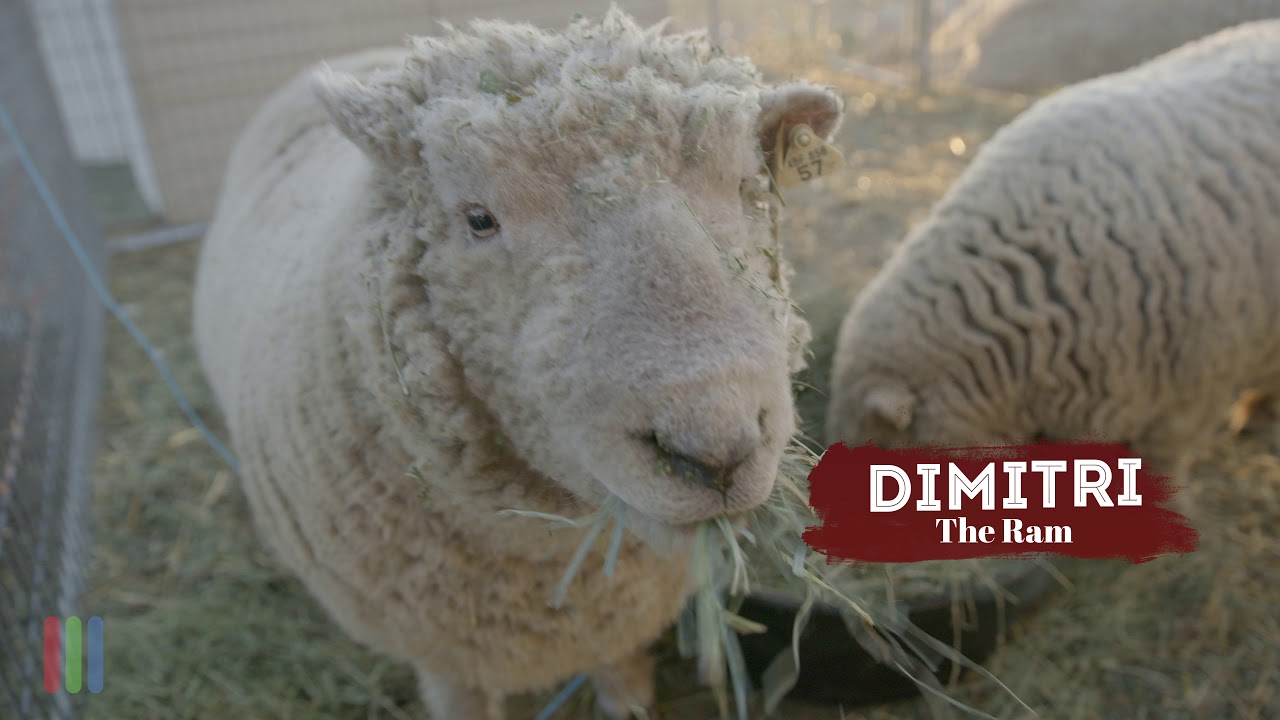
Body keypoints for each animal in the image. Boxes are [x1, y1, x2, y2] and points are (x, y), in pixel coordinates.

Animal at [191, 7, 843, 719]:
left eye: (749, 187)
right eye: (479, 219)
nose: (715, 450)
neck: (549, 576)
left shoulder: (616, 624)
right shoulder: (449, 660)